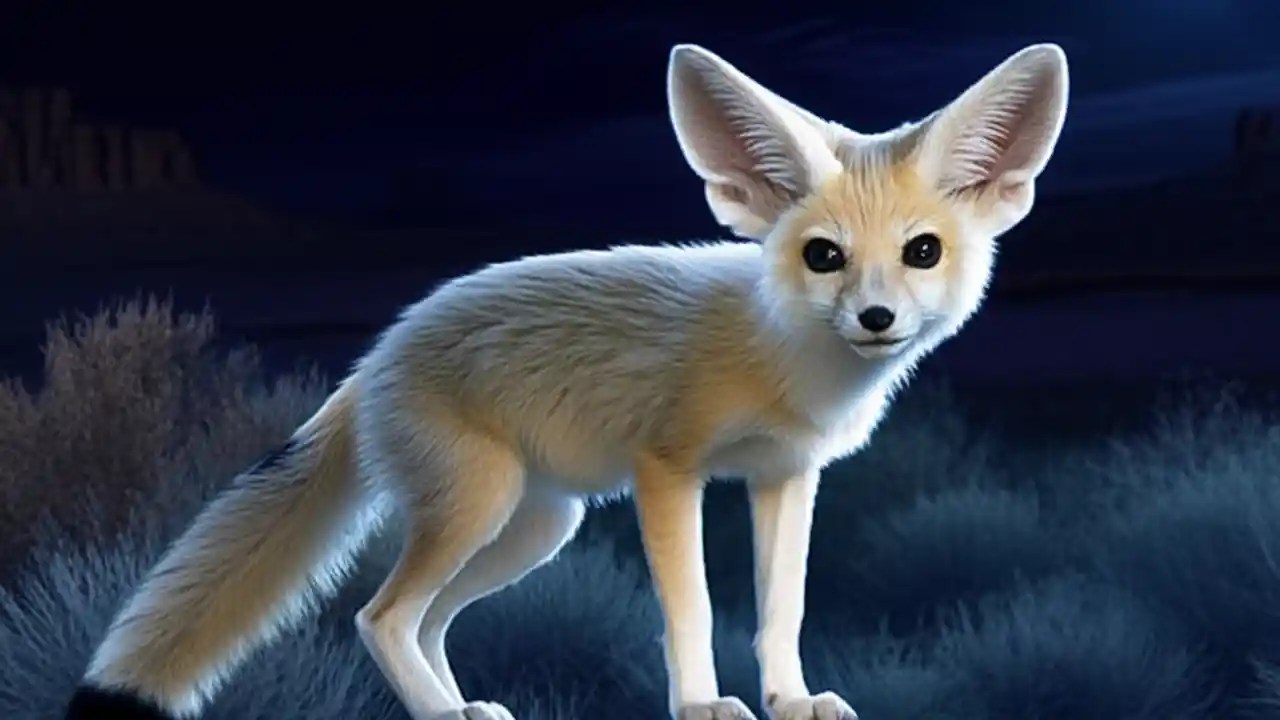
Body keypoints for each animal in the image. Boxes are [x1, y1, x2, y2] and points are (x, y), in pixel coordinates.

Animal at [64, 41, 1068, 720]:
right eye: (825, 257)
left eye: (921, 252)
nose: (876, 318)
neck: (783, 357)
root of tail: (377, 351)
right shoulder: (669, 471)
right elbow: (691, 609)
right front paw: (701, 704)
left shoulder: (786, 478)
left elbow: (781, 609)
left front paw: (790, 699)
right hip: (481, 509)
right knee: (379, 617)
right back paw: (438, 710)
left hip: (534, 527)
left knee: (428, 621)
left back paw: (464, 709)